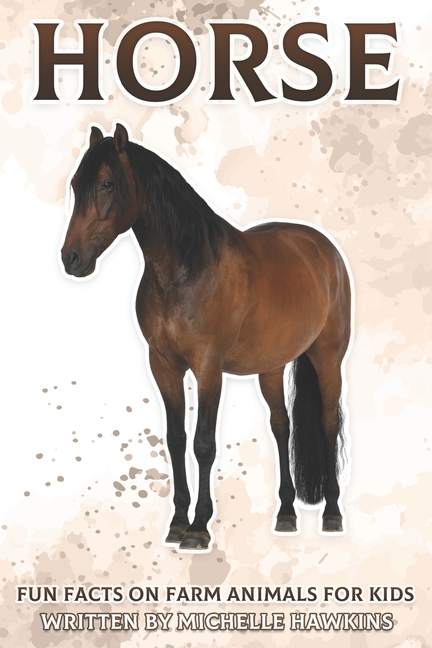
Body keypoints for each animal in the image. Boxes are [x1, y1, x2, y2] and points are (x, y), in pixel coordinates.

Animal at [61, 123, 352, 551]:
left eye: (107, 183)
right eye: (75, 184)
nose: (72, 258)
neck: (186, 269)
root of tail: (325, 250)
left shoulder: (208, 368)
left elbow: (203, 443)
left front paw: (198, 527)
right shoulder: (163, 366)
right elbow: (176, 439)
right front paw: (177, 522)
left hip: (327, 358)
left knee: (328, 422)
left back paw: (332, 511)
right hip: (271, 367)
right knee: (281, 426)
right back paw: (285, 513)